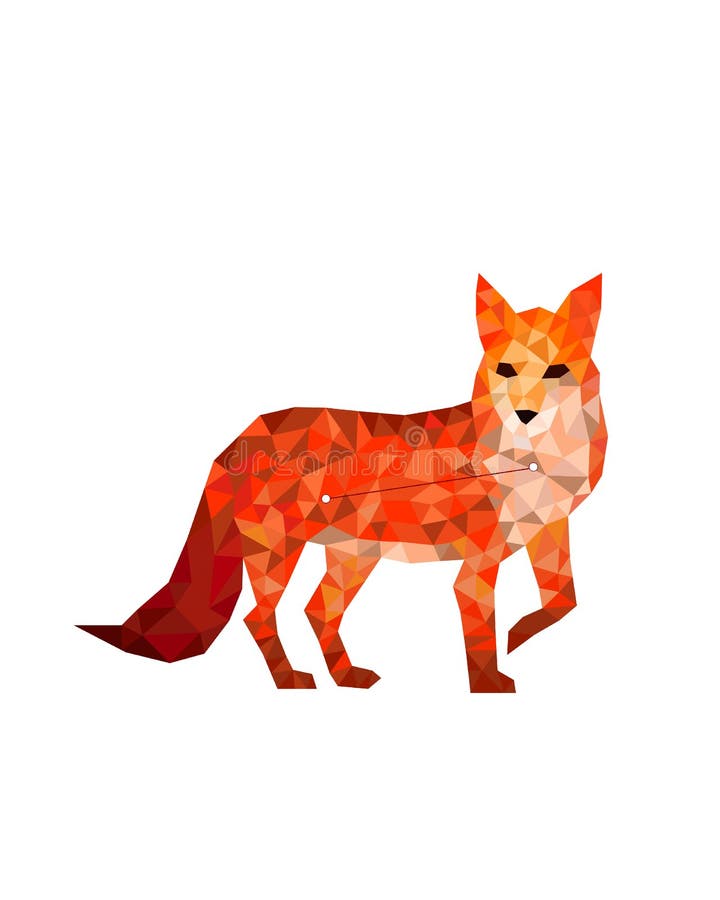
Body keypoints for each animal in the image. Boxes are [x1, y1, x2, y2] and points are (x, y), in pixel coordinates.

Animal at [79, 274, 607, 692]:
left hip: (352, 558)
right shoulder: (475, 568)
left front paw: (518, 635)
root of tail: (244, 433)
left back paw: (344, 677)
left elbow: (564, 602)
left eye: (556, 371)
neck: (536, 465)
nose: (525, 414)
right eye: (506, 370)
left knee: (317, 613)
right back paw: (291, 681)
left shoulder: (547, 536)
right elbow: (481, 640)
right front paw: (492, 682)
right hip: (280, 554)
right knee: (259, 618)